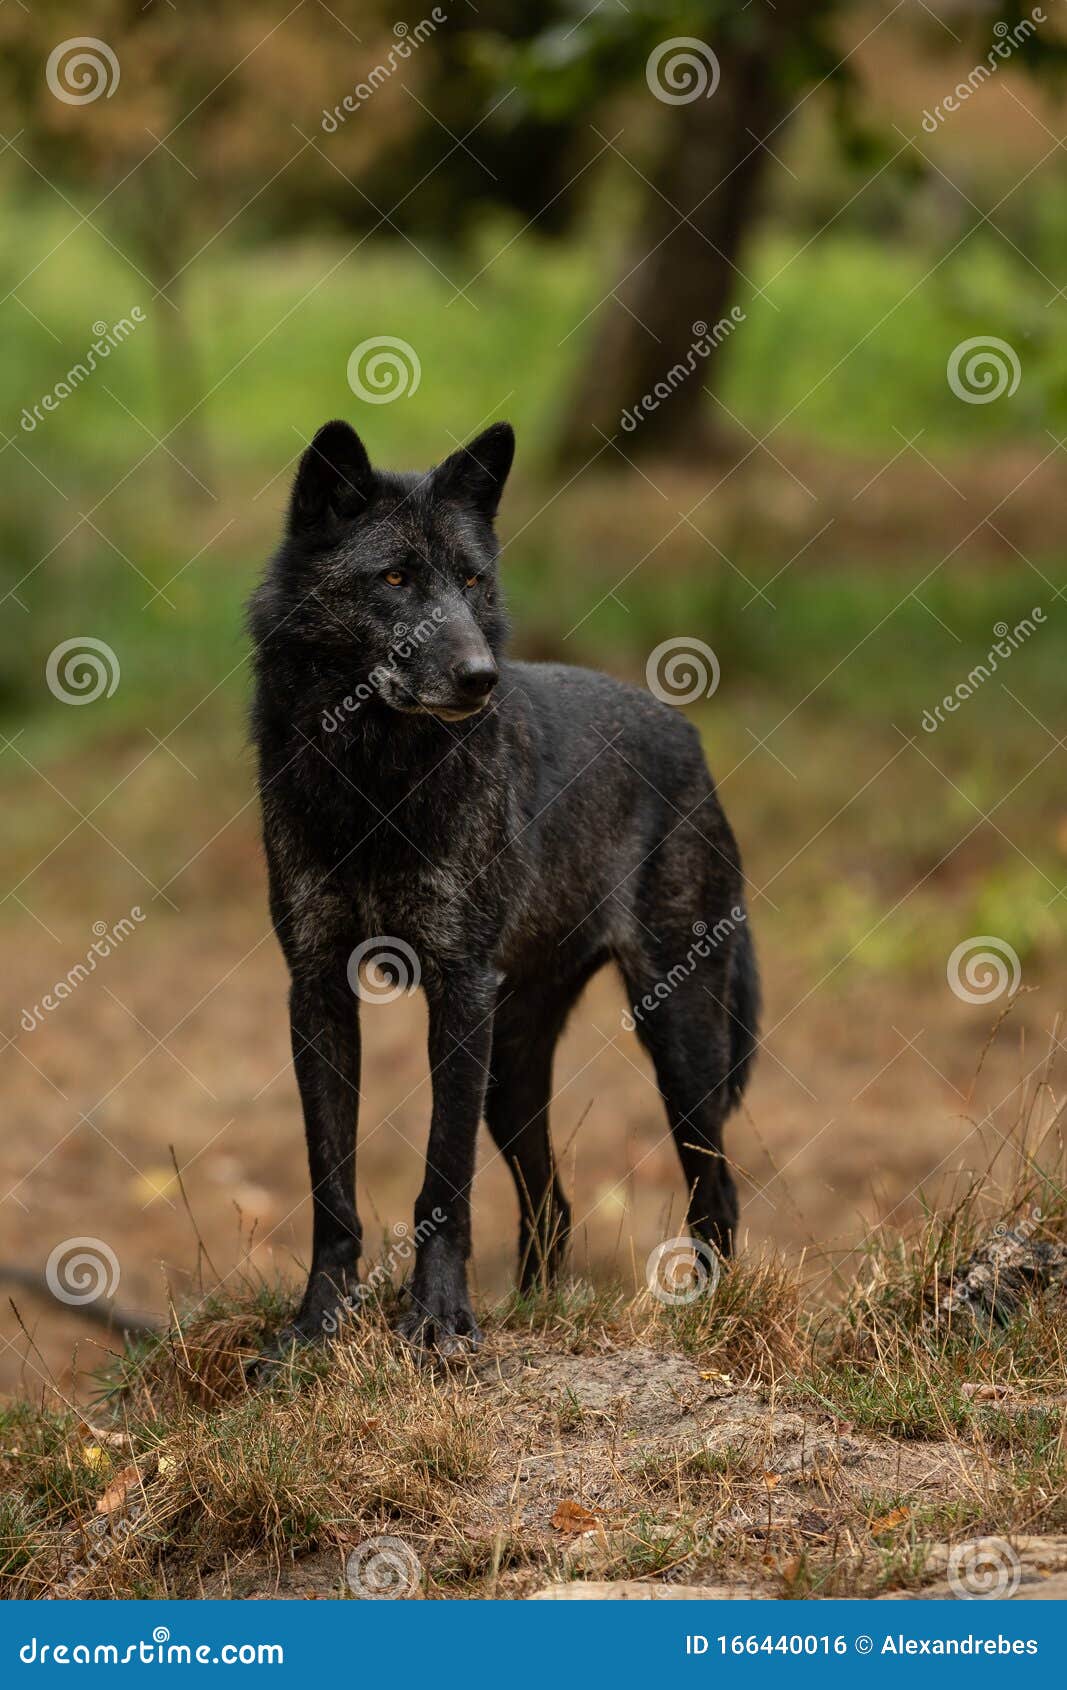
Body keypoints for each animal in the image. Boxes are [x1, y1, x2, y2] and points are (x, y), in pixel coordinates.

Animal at [248, 420, 758, 1352]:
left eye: (473, 580)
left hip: (675, 1038)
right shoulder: (318, 991)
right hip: (511, 1068)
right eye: (395, 578)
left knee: (717, 1191)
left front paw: (440, 1323)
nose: (481, 677)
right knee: (554, 1205)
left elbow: (443, 1182)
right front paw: (315, 1330)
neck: (375, 786)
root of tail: (689, 737)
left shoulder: (457, 989)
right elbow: (330, 1191)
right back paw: (532, 1311)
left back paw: (705, 1317)